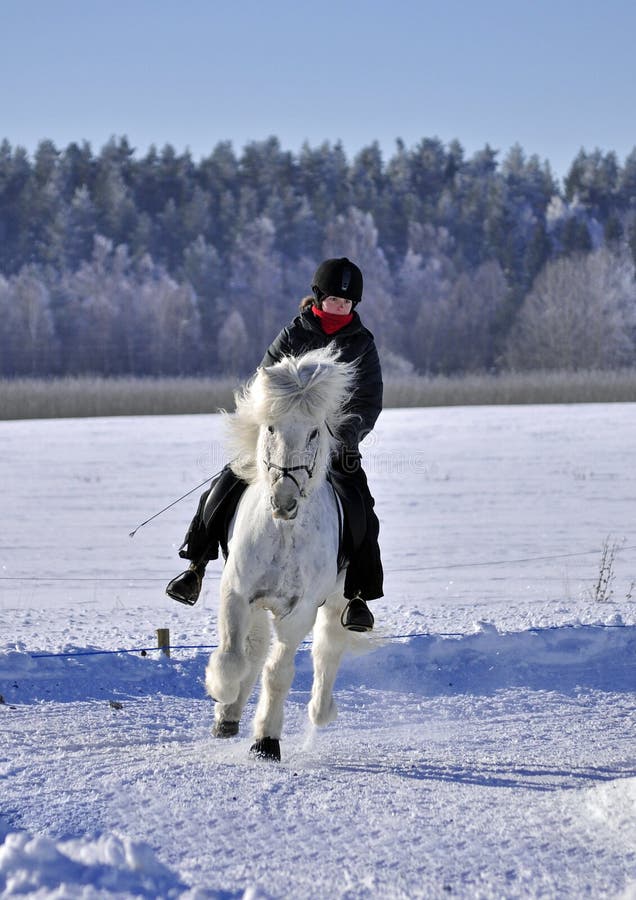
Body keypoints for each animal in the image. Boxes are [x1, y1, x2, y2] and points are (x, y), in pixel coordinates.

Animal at [204, 346, 368, 761]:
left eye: (314, 431)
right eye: (271, 428)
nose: (284, 501)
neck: (283, 532)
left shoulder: (301, 609)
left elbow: (278, 674)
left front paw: (266, 742)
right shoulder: (238, 592)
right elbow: (233, 656)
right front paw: (222, 698)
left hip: (338, 599)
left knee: (327, 649)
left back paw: (321, 711)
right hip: (260, 602)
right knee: (253, 648)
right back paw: (230, 714)